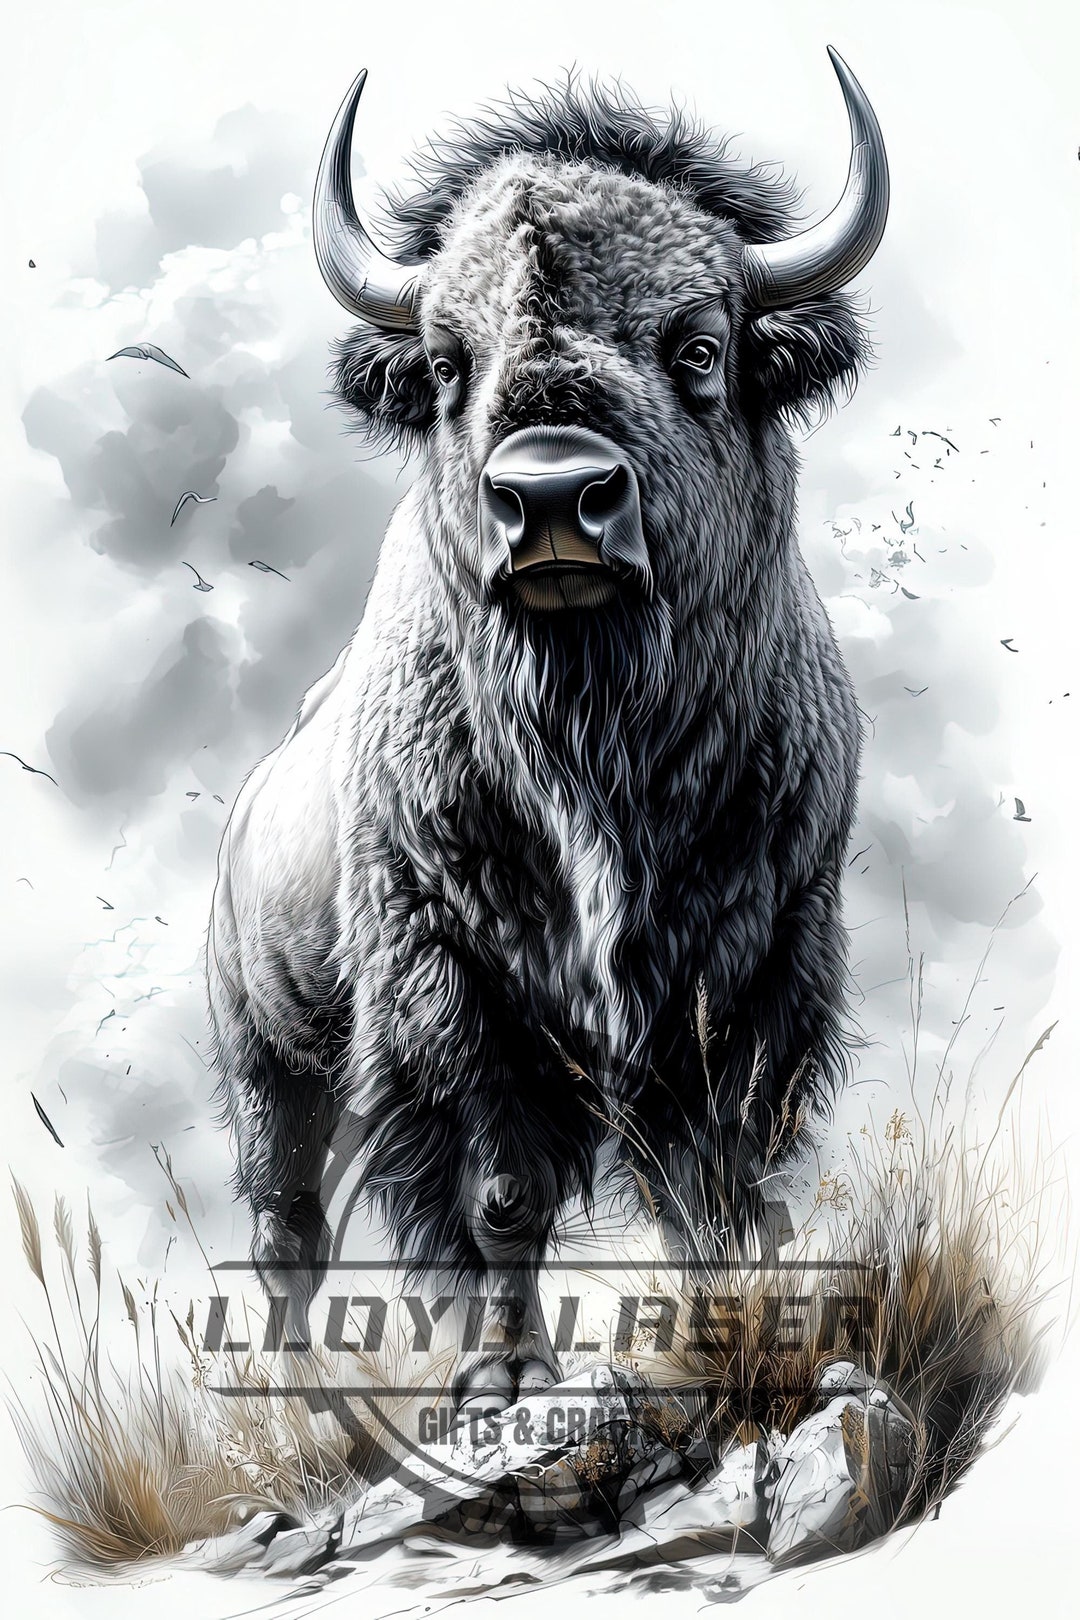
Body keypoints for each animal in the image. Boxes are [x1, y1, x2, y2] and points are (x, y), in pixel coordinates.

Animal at [208, 50, 888, 1417]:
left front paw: (732, 1336)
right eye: (446, 362)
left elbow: (717, 1182)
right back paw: (304, 1405)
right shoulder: (453, 991)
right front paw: (503, 1378)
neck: (598, 759)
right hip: (273, 1067)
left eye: (698, 343)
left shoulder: (760, 970)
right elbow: (502, 1192)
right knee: (285, 1226)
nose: (553, 497)